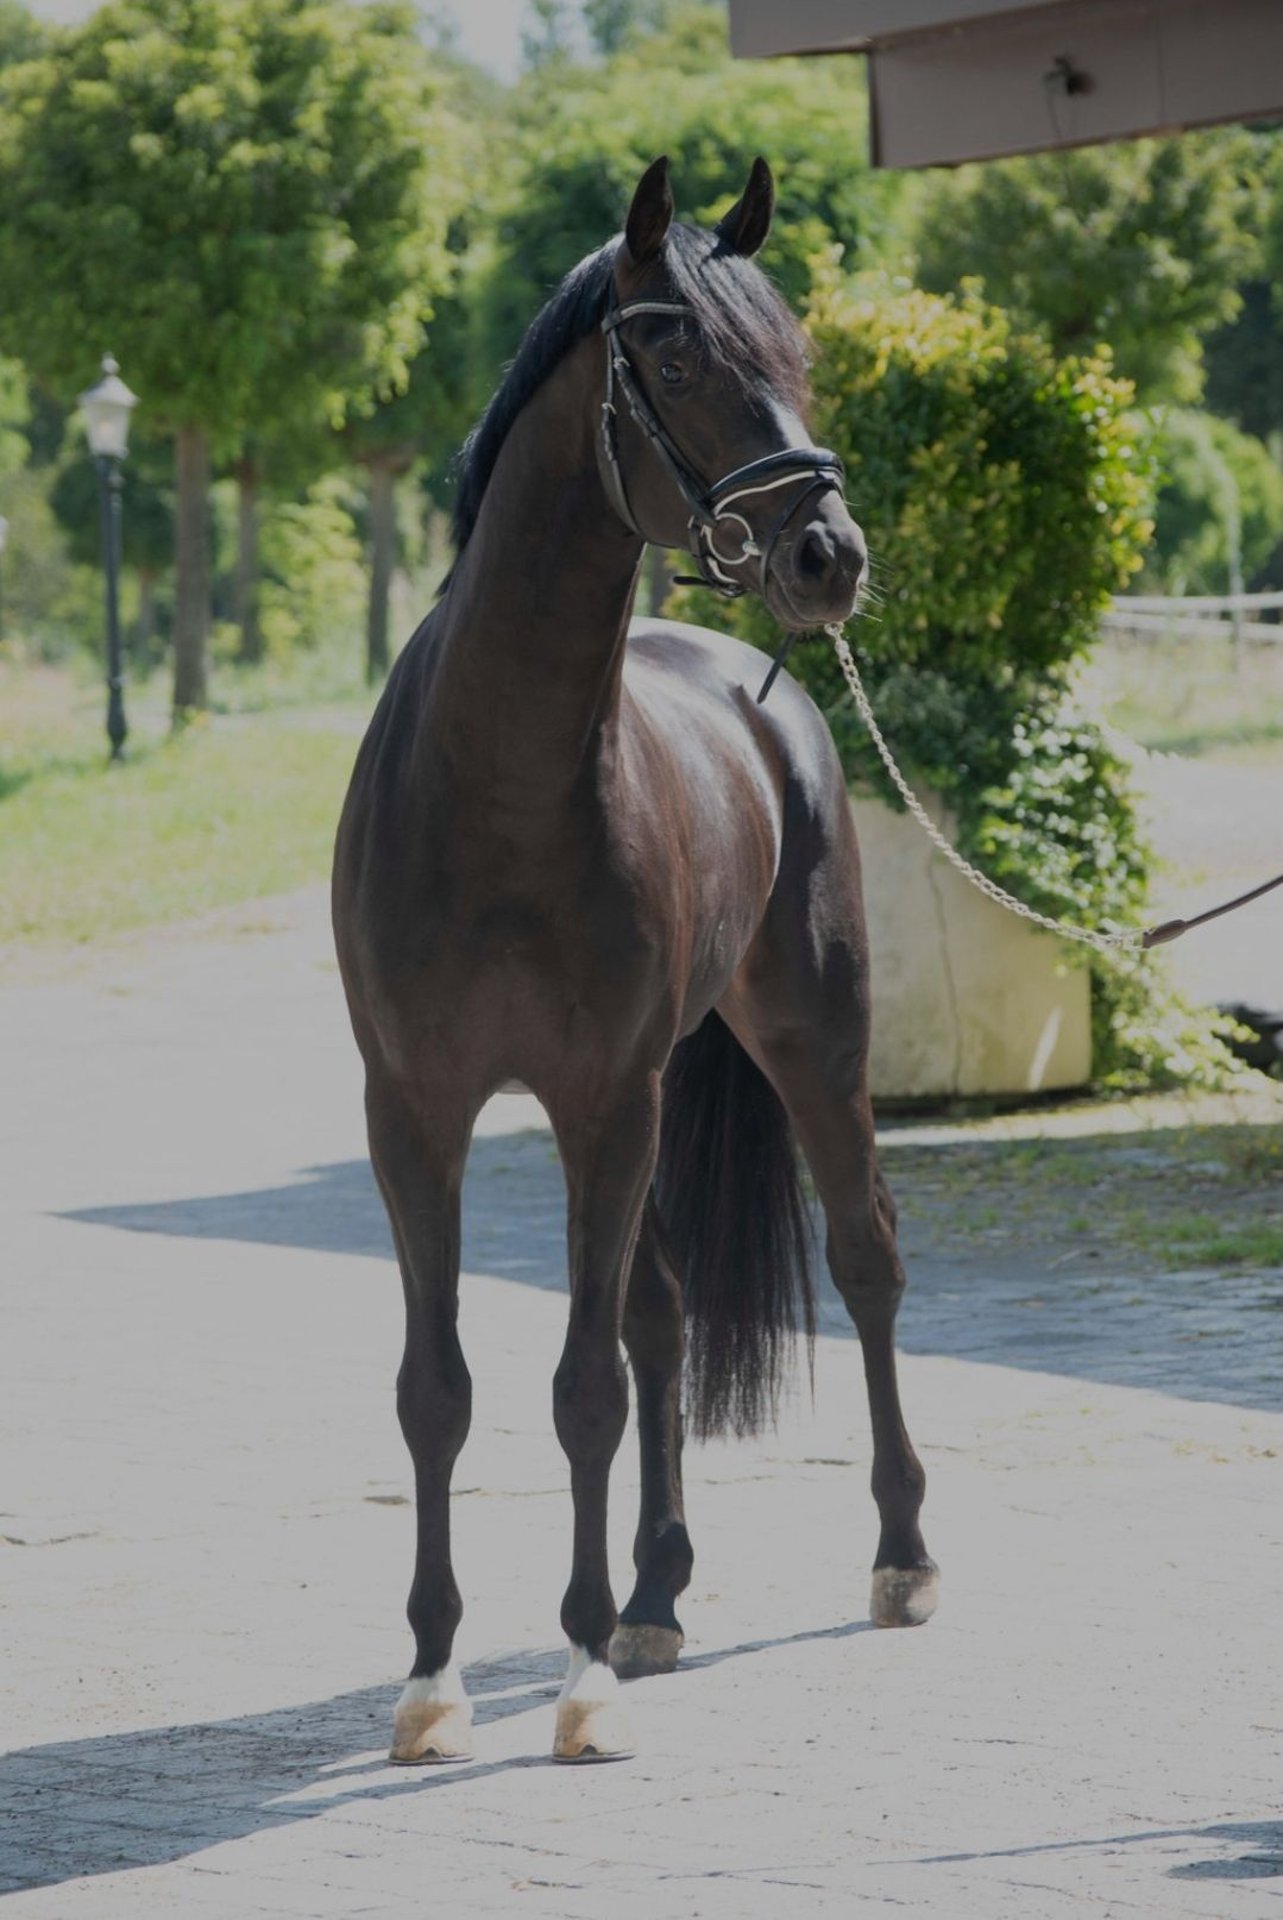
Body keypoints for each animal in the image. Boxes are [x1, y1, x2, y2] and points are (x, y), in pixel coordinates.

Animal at [332, 155, 938, 1766]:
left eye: (795, 354)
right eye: (672, 359)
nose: (825, 555)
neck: (493, 783)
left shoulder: (599, 1101)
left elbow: (581, 1387)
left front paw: (579, 1677)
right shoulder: (416, 1113)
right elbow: (437, 1390)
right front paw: (433, 1678)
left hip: (808, 1048)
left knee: (862, 1261)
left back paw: (898, 1556)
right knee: (664, 1316)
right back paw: (656, 1596)